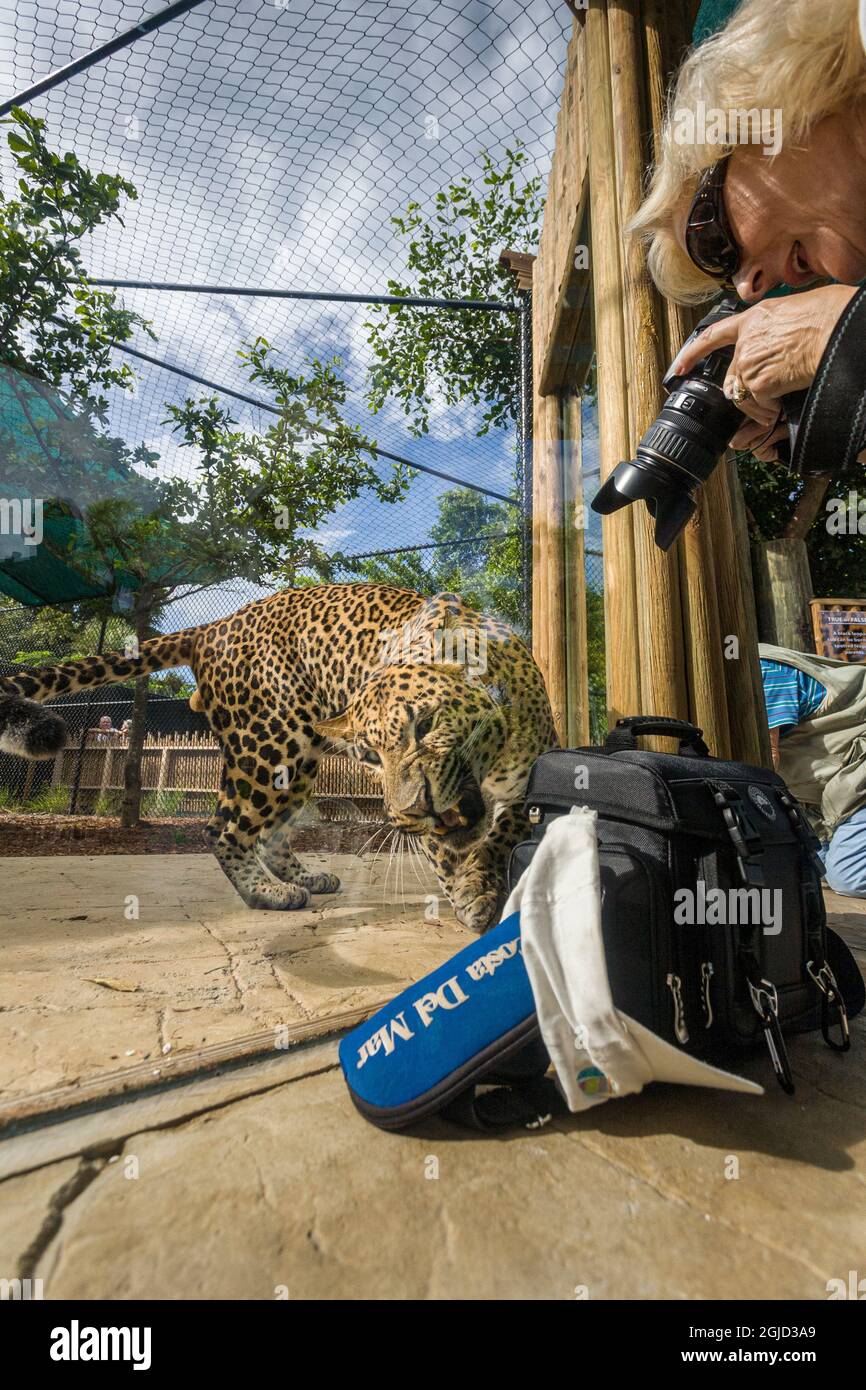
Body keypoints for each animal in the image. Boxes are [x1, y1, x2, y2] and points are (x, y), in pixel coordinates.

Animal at [0, 583, 559, 932]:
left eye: (424, 725)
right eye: (370, 757)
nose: (411, 810)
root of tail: (213, 625)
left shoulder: (533, 774)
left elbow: (504, 832)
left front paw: (480, 881)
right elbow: (446, 850)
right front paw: (472, 895)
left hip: (299, 762)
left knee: (268, 836)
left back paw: (307, 878)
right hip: (268, 744)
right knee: (223, 828)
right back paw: (267, 894)